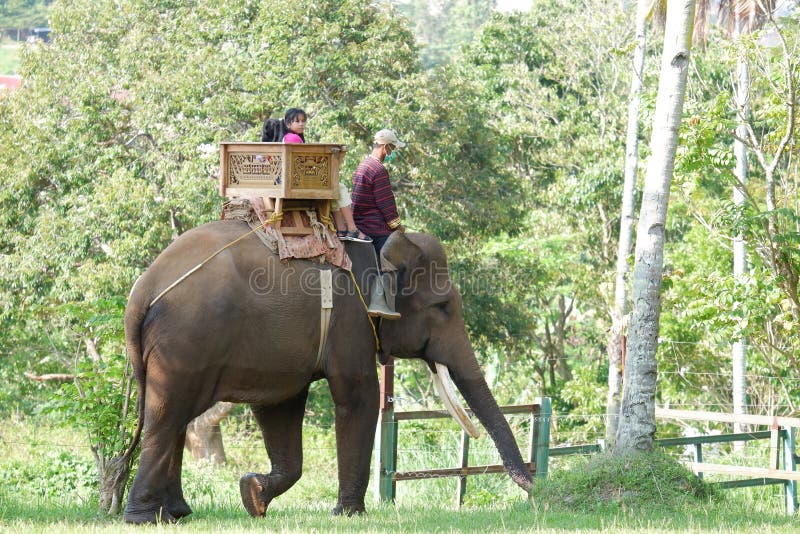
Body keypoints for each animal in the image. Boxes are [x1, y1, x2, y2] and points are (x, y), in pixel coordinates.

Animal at [120, 220, 533, 524]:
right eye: (444, 307)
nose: (535, 493)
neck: (378, 248)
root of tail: (143, 289)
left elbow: (280, 405)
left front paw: (252, 494)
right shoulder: (352, 318)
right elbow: (359, 396)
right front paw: (349, 514)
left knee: (176, 418)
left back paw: (176, 514)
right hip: (184, 343)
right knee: (166, 417)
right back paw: (144, 519)